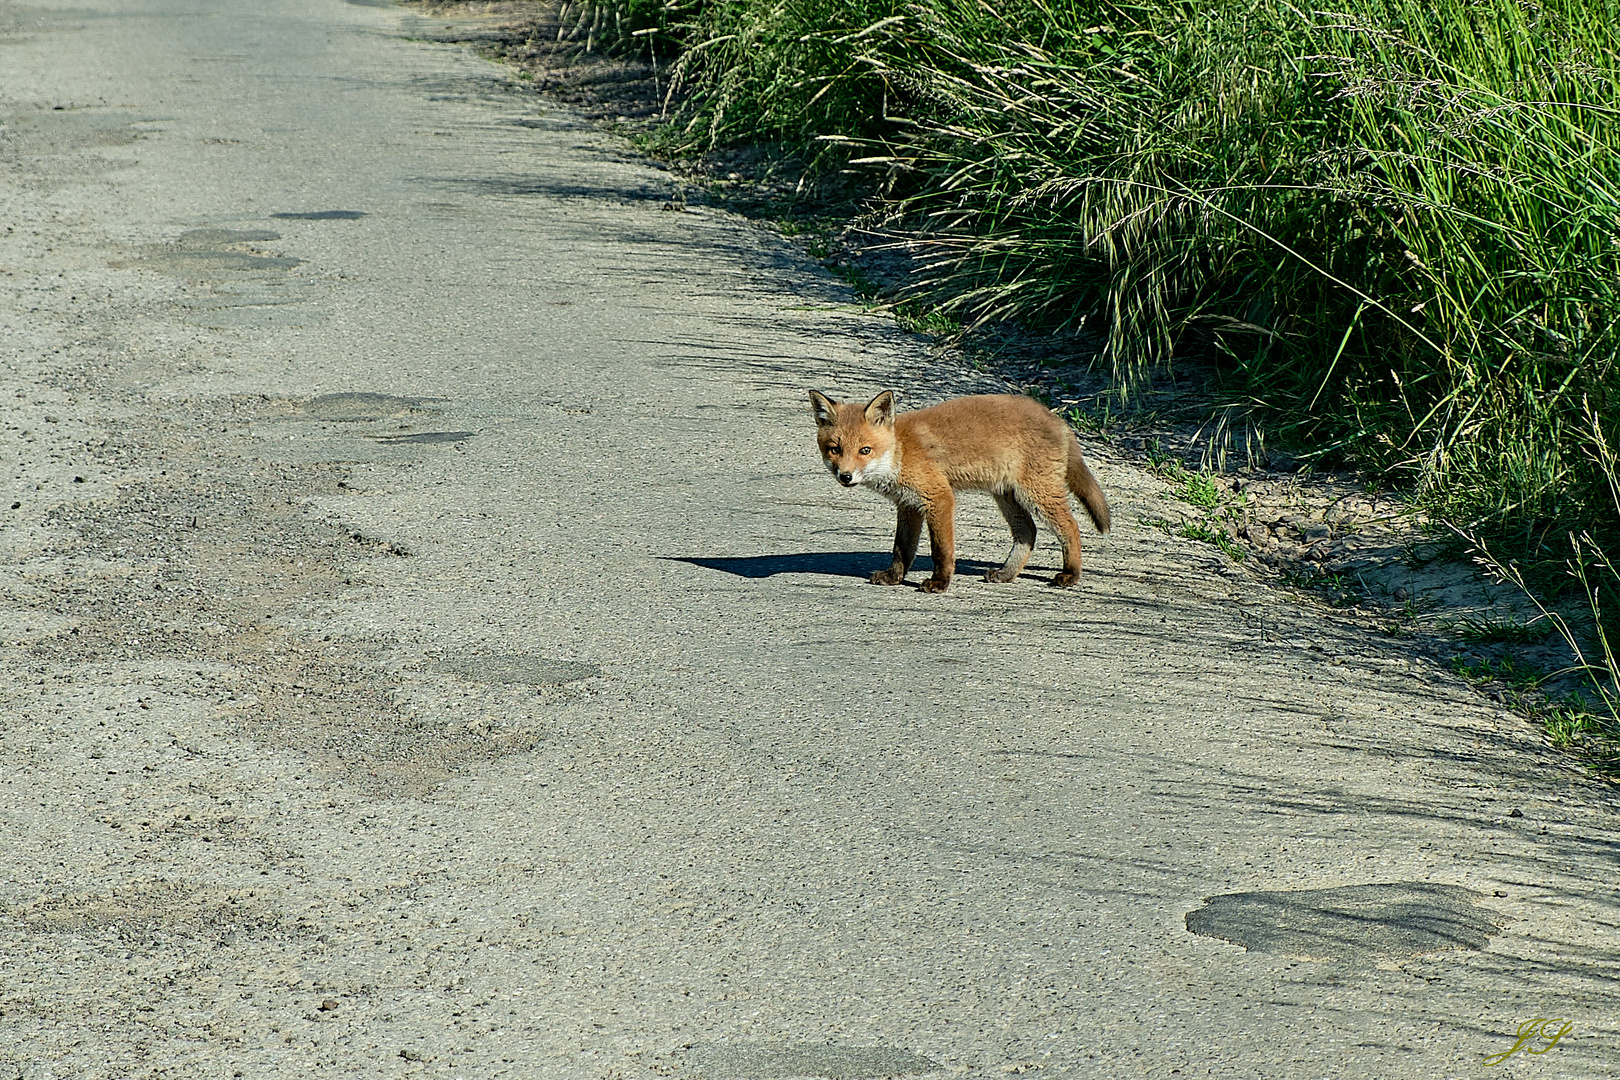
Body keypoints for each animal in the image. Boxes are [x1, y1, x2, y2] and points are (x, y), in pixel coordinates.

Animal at [808, 389, 1110, 593]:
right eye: (835, 449)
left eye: (865, 450)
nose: (845, 476)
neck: (901, 451)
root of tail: (1057, 419)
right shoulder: (908, 505)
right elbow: (901, 549)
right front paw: (894, 578)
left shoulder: (939, 498)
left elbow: (941, 550)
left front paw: (940, 582)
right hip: (1007, 496)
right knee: (1028, 533)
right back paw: (1006, 574)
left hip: (1037, 494)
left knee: (1070, 527)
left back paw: (1070, 574)